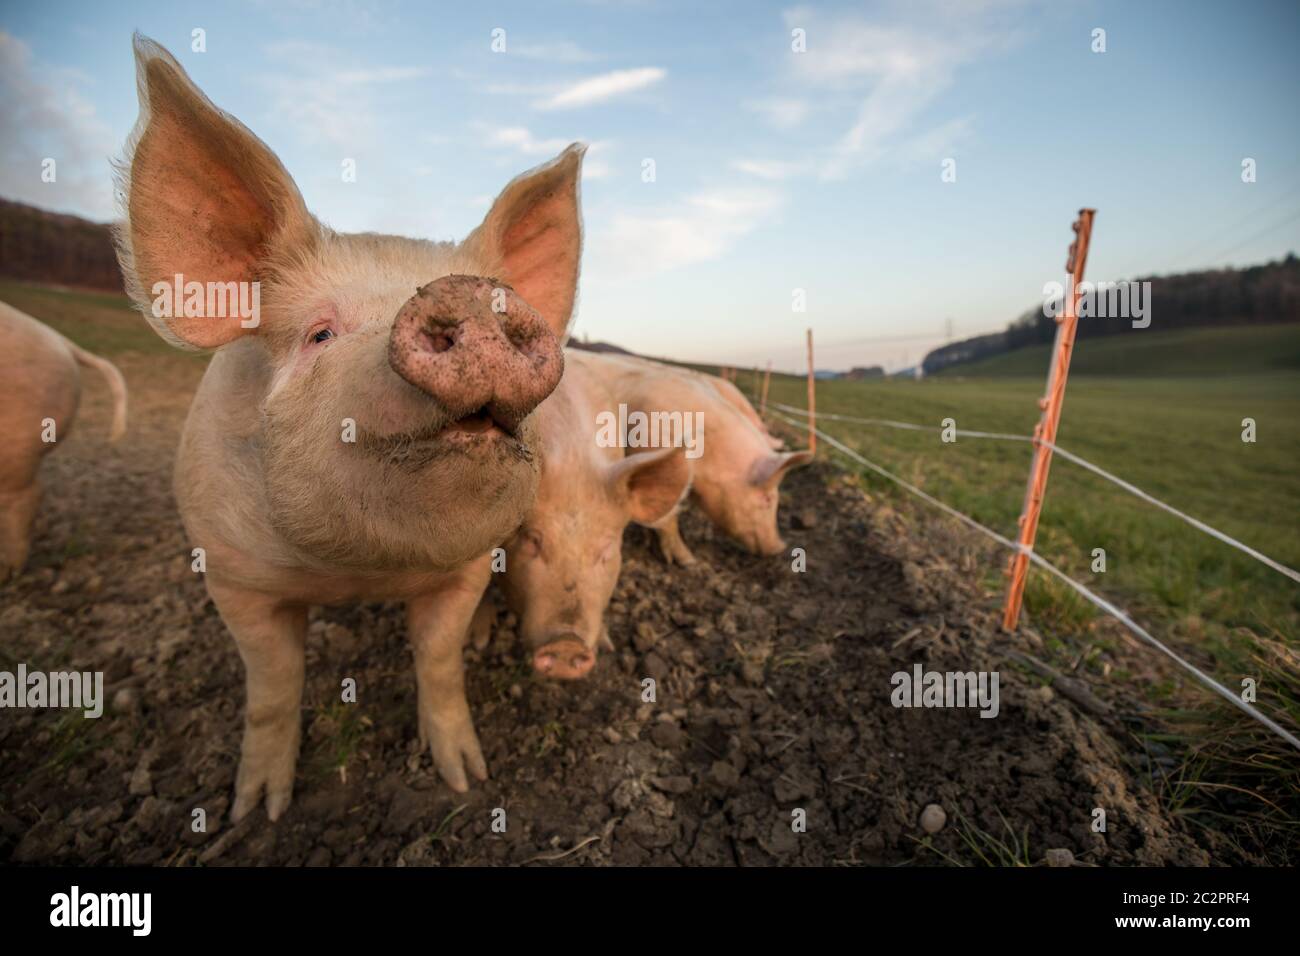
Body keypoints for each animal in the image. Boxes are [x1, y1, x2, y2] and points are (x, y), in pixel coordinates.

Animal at [113, 36, 585, 819]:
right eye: (320, 334)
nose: (471, 297)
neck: (356, 574)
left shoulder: (462, 571)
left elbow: (440, 662)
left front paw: (467, 777)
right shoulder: (232, 576)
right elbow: (272, 686)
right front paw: (258, 810)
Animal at [473, 361, 690, 679]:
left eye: (607, 550)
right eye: (532, 540)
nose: (567, 644)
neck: (573, 458)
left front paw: (606, 644)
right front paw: (478, 642)